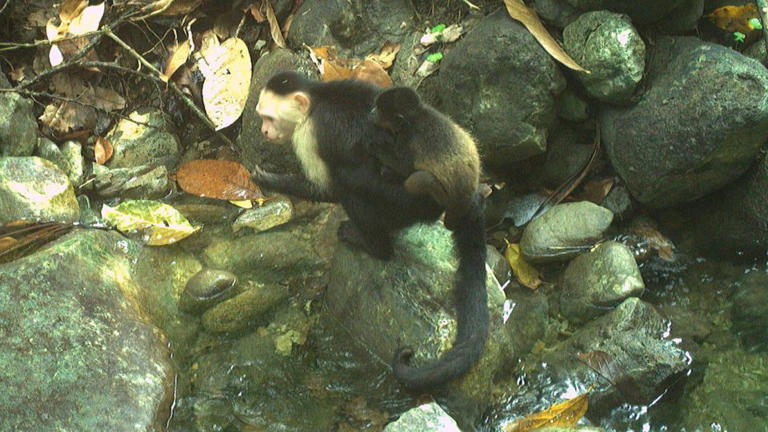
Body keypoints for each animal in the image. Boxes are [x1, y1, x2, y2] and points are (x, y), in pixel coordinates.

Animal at [370, 87, 481, 232]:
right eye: (376, 108)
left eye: (378, 110)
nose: (371, 112)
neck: (415, 117)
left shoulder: (408, 137)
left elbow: (405, 166)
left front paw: (376, 148)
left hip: (443, 196)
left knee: (419, 178)